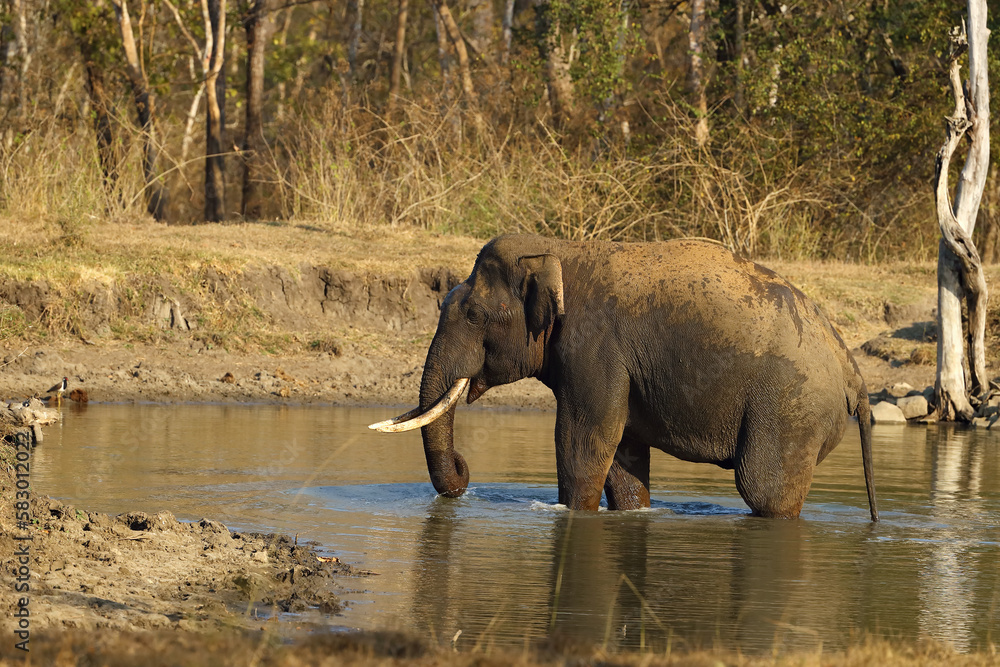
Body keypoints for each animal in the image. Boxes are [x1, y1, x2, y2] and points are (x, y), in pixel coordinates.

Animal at [371, 234, 878, 521]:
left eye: (475, 315)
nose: (463, 469)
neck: (559, 251)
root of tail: (852, 372)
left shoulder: (594, 348)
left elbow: (583, 438)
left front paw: (572, 512)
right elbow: (623, 449)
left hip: (792, 407)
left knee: (763, 488)